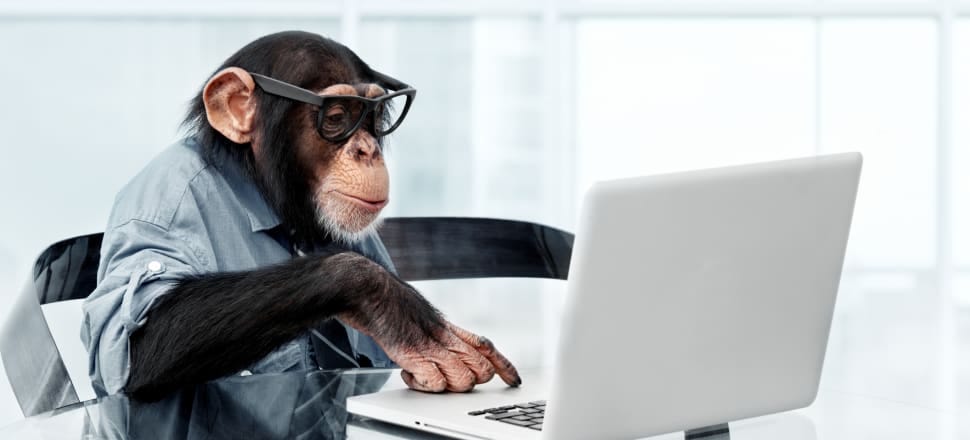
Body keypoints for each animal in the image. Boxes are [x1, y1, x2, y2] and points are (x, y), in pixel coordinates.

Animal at [80, 31, 521, 402]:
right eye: (338, 115)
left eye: (375, 116)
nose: (367, 150)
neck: (262, 191)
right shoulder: (163, 206)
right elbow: (140, 341)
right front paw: (399, 311)